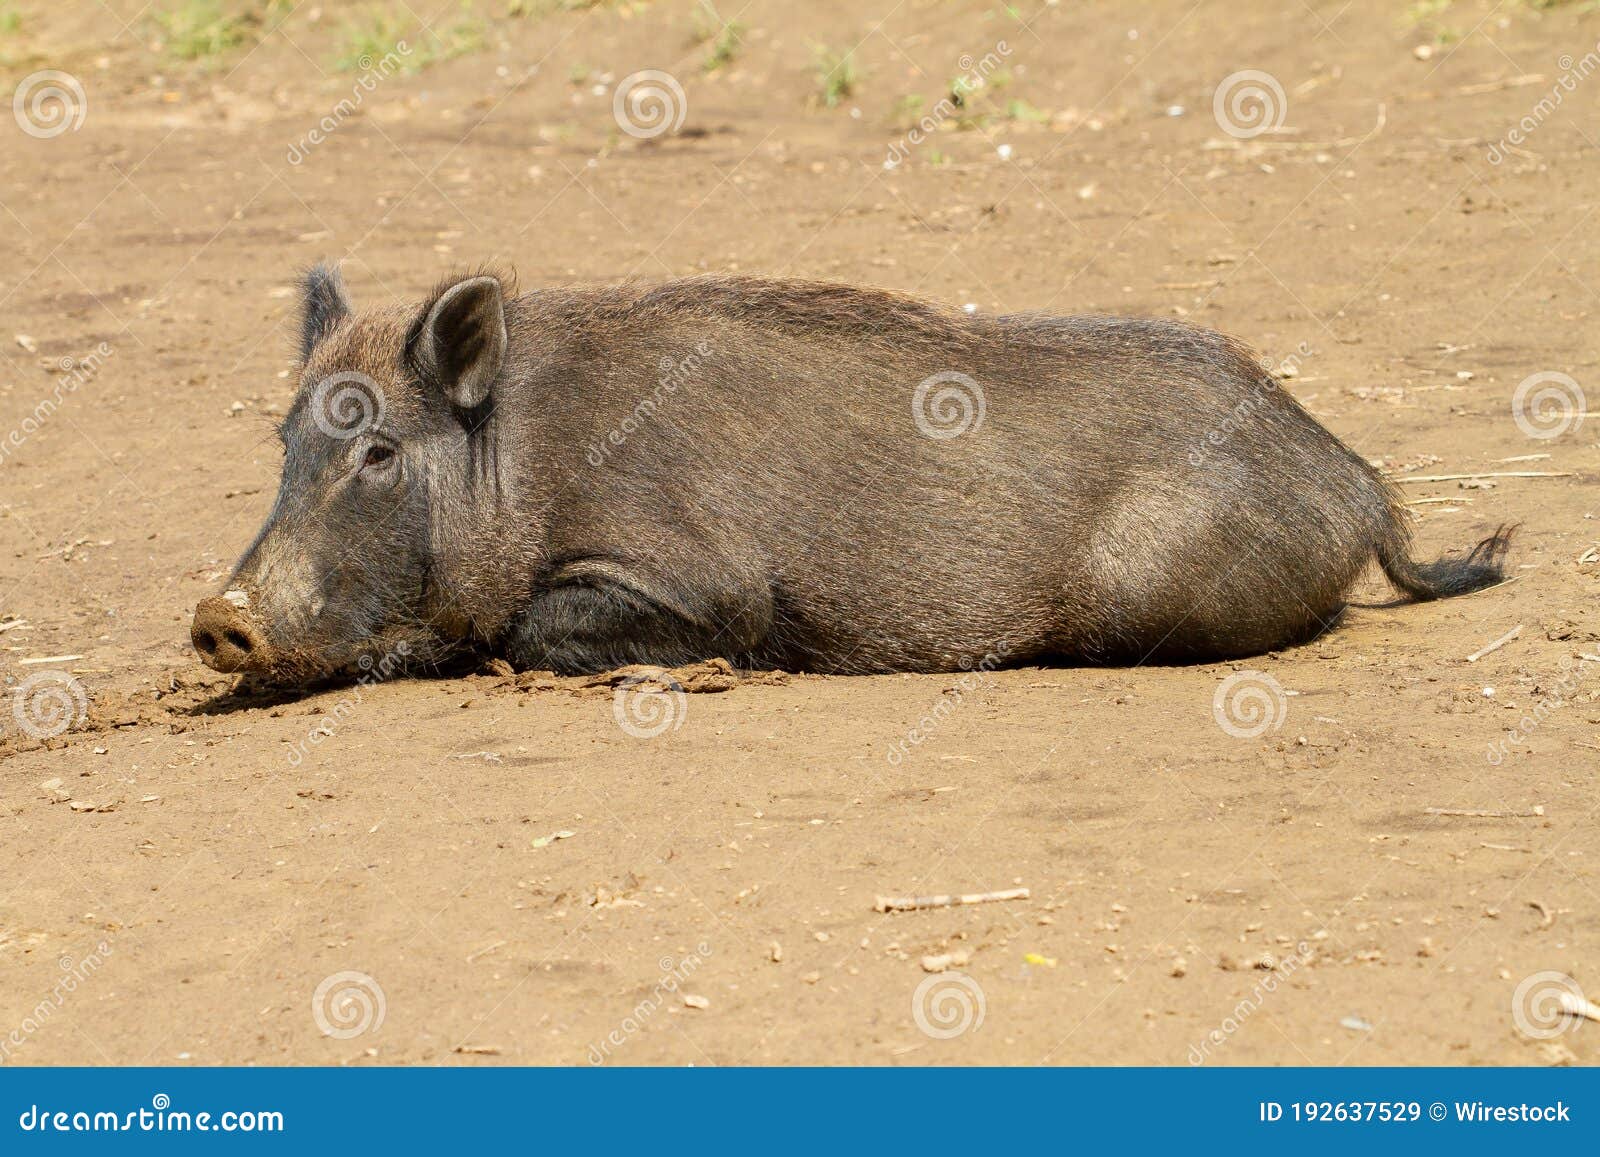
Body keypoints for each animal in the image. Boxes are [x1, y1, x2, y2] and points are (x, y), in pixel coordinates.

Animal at [190, 265, 1511, 683]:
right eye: (285, 443)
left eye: (377, 451)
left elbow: (528, 630)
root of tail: (1354, 476)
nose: (215, 616)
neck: (527, 460)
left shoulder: (706, 579)